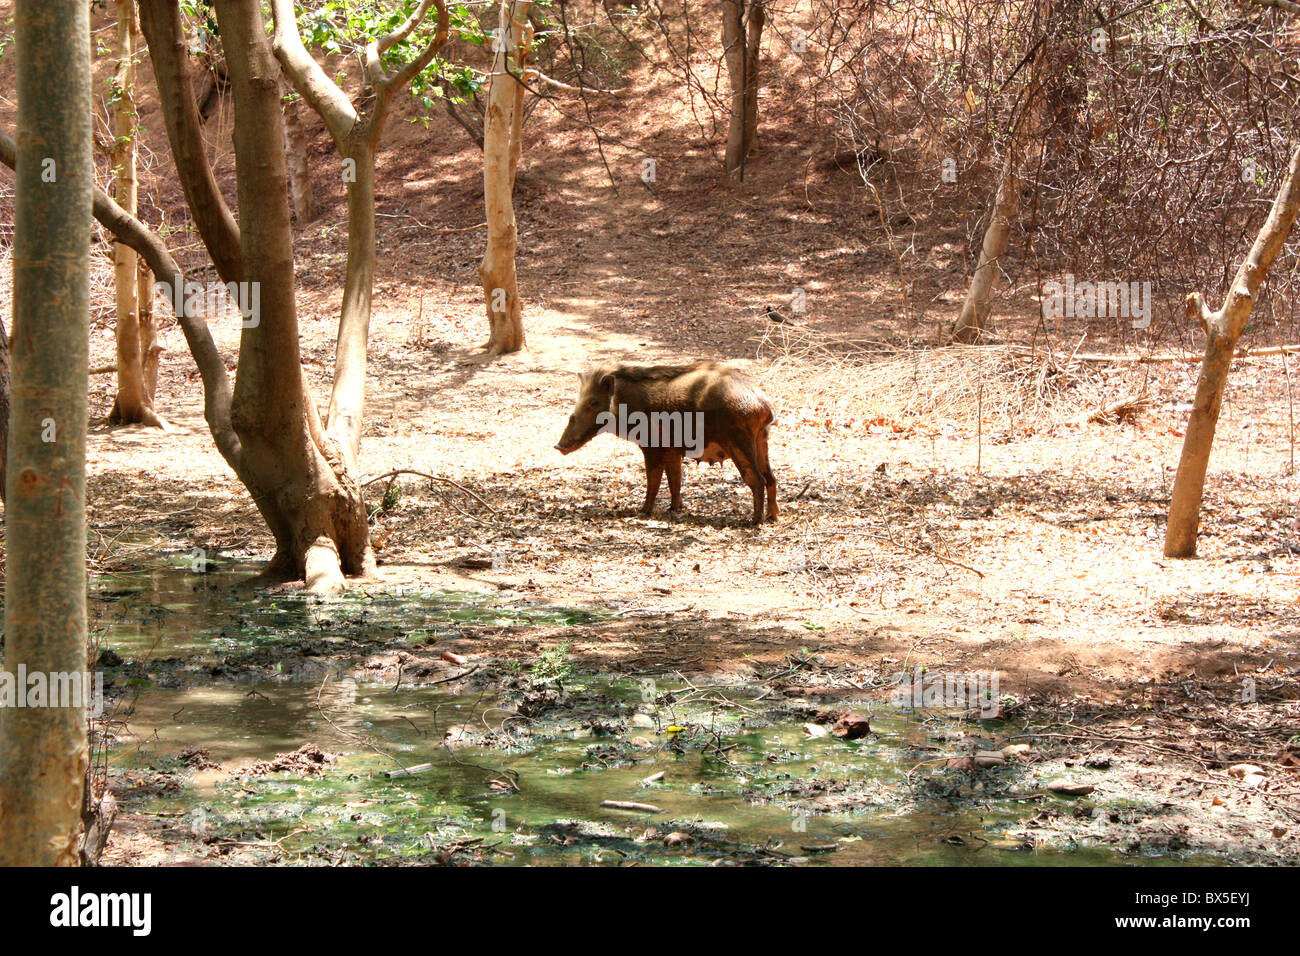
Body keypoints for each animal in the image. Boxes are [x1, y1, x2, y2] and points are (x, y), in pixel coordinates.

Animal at [555, 361, 778, 525]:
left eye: (593, 402)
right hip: (761, 440)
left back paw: (752, 522)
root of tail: (763, 403)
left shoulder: (652, 447)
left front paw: (643, 511)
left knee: (757, 479)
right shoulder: (672, 450)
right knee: (771, 478)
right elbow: (674, 481)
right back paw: (772, 517)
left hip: (739, 441)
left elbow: (653, 480)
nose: (558, 446)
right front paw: (674, 509)